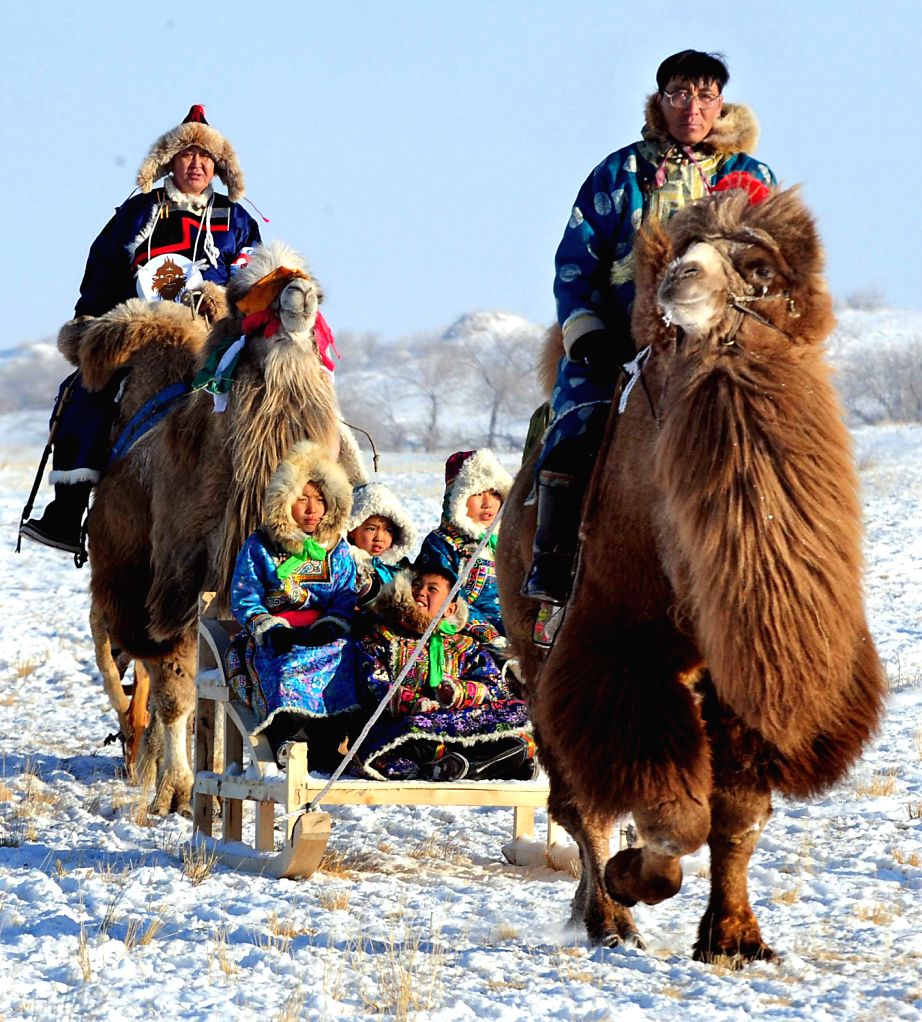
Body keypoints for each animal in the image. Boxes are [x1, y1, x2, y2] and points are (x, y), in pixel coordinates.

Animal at [81, 242, 360, 813]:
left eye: (316, 290)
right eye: (245, 294)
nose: (299, 292)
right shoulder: (179, 589)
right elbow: (179, 689)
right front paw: (178, 792)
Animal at [496, 188, 886, 964]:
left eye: (761, 270)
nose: (686, 279)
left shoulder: (739, 672)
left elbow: (736, 813)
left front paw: (735, 939)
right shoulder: (616, 654)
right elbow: (673, 812)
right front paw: (631, 880)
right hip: (536, 651)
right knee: (579, 801)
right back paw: (607, 919)